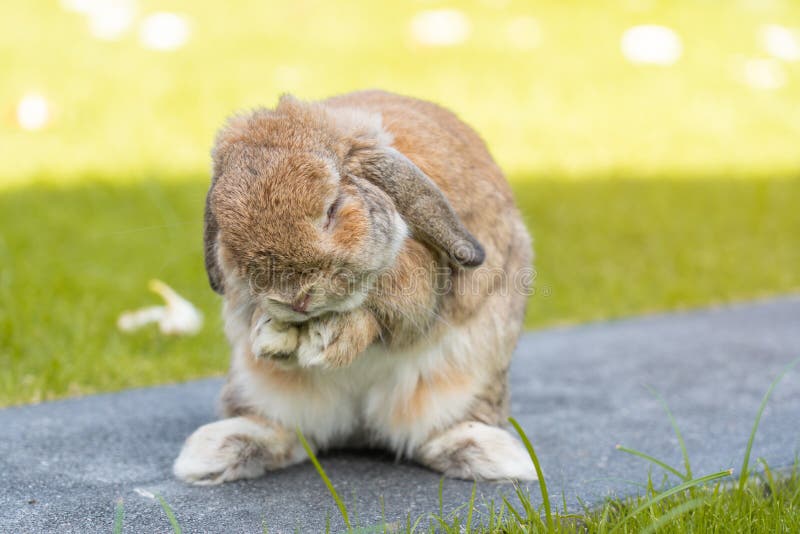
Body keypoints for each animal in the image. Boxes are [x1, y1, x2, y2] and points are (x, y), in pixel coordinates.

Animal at [173, 90, 535, 485]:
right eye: (227, 228)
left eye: (332, 208)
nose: (295, 298)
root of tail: (360, 429)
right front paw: (270, 338)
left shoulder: (417, 296)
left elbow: (378, 322)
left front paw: (327, 341)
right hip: (256, 386)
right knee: (292, 434)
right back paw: (215, 452)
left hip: (471, 379)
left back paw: (492, 457)